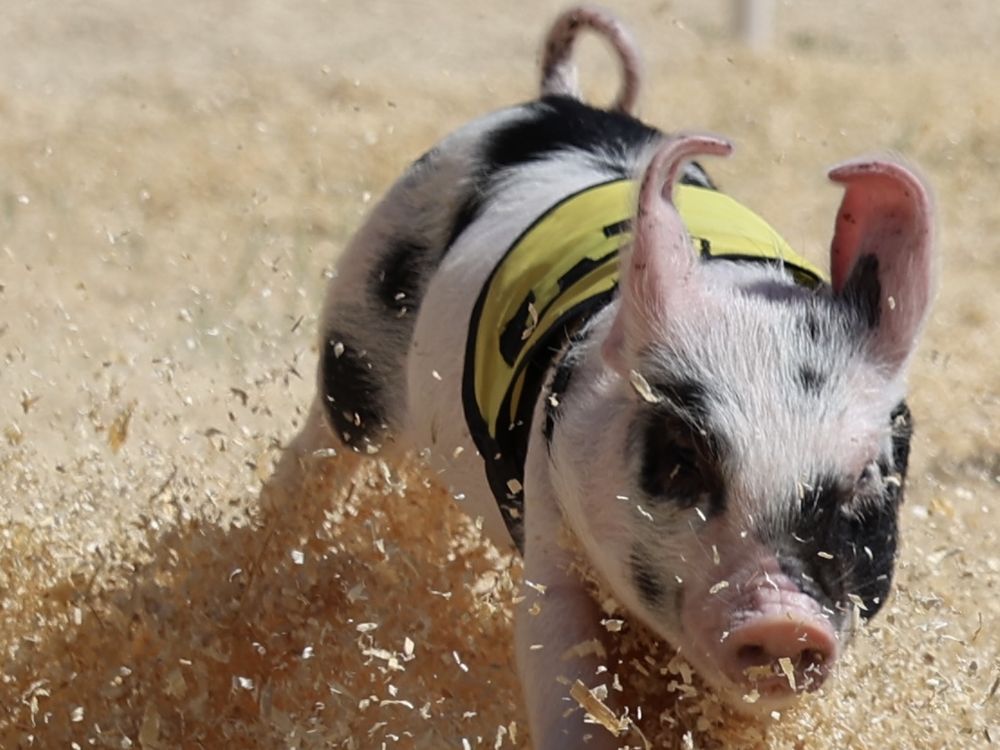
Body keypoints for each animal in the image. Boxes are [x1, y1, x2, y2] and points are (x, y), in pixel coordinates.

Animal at [264, 6, 935, 748]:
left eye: (867, 480)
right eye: (681, 458)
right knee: (324, 444)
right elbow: (560, 658)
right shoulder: (551, 513)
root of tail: (559, 98)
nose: (784, 619)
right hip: (361, 322)